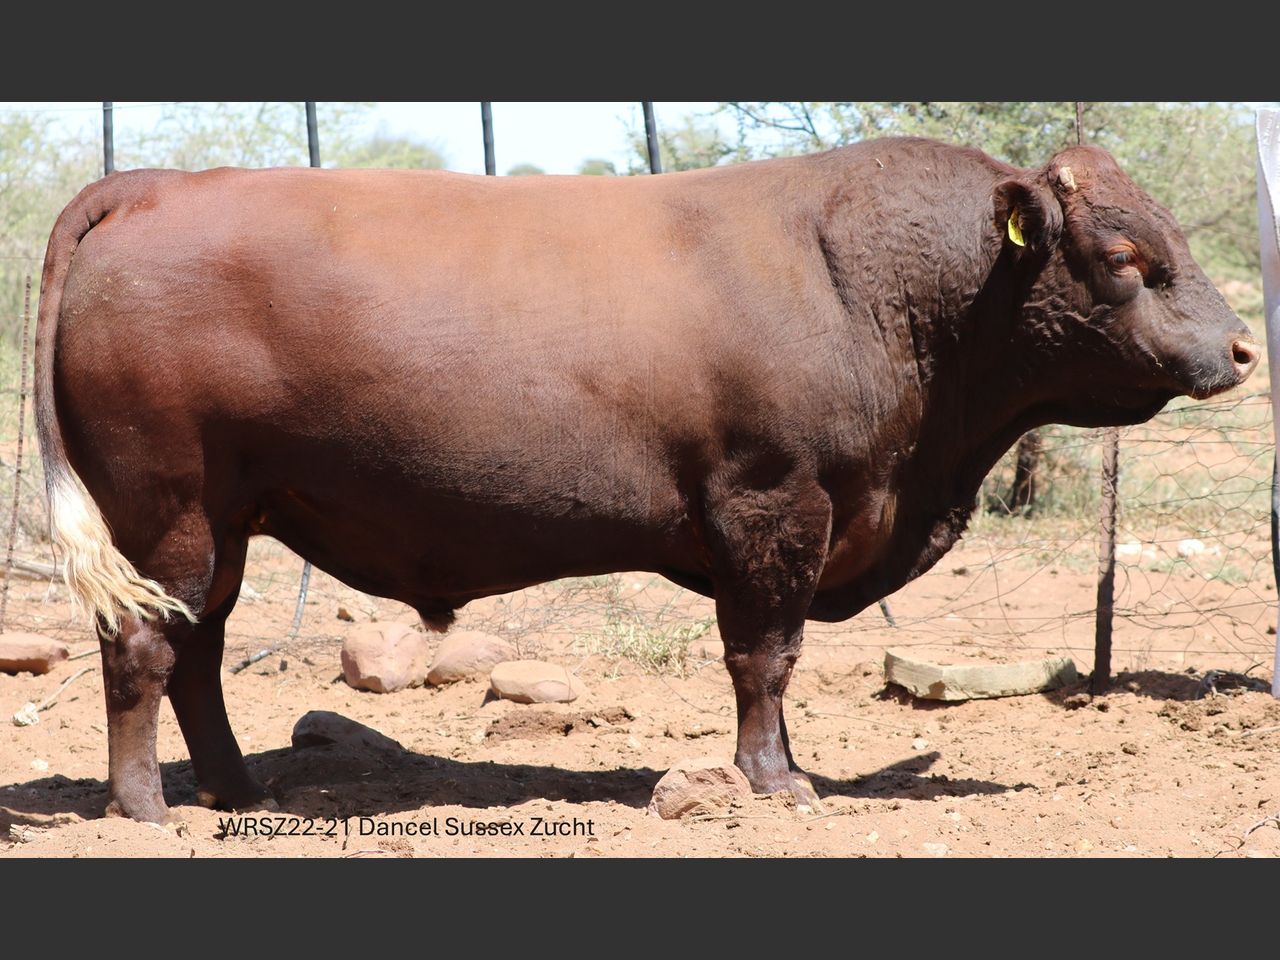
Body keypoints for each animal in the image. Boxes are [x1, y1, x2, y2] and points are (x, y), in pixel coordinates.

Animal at [35, 138, 1258, 824]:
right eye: (1123, 259)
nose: (1244, 349)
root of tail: (153, 187)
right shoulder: (772, 506)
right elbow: (764, 656)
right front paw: (775, 782)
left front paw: (787, 768)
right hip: (170, 511)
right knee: (143, 648)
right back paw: (145, 807)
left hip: (228, 519)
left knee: (196, 651)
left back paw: (236, 788)